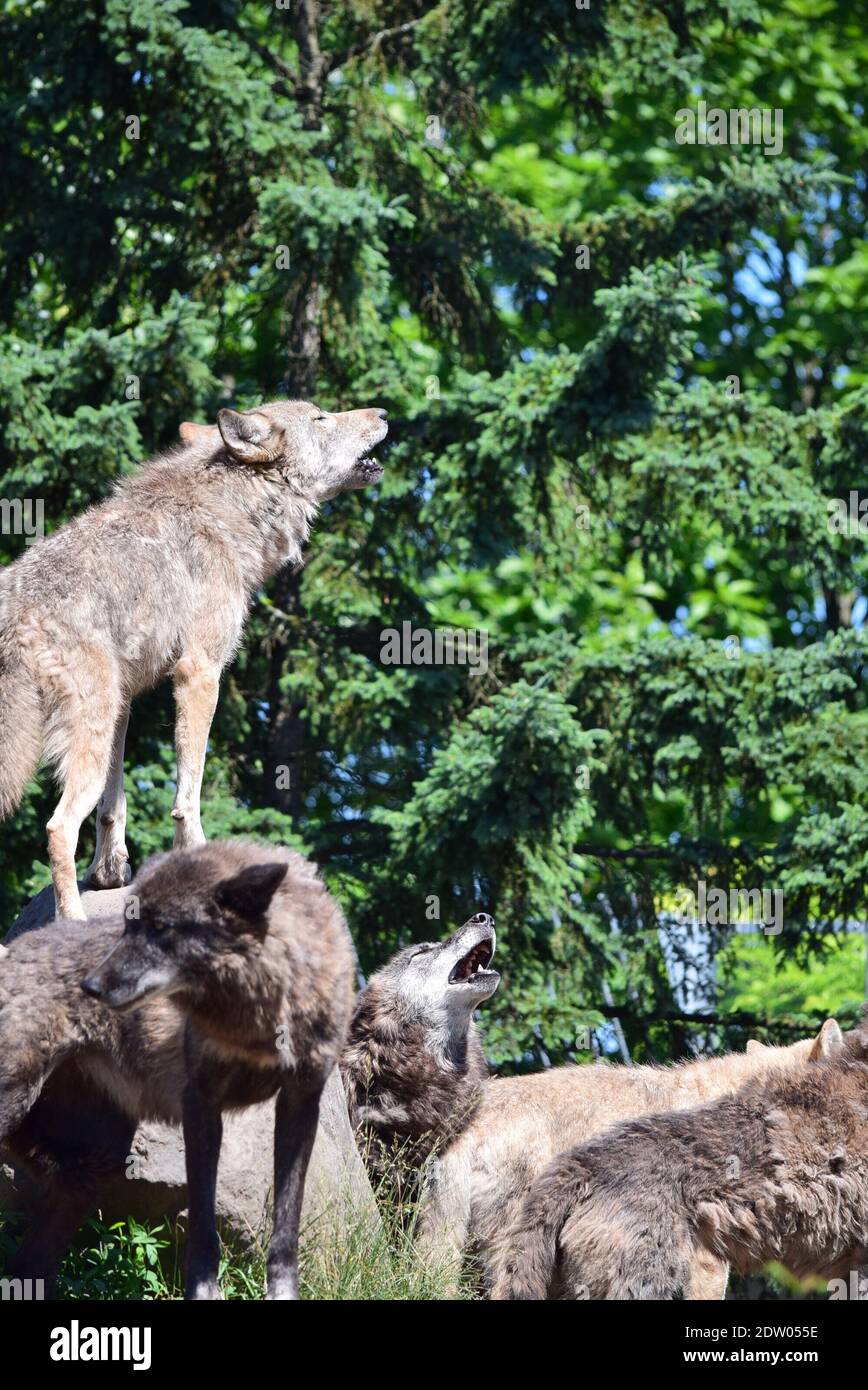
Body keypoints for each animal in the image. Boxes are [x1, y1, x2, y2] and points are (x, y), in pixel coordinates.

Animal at [0, 400, 388, 919]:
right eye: (321, 418)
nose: (384, 412)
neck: (228, 514)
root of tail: (15, 617)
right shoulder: (200, 671)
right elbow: (189, 790)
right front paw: (196, 857)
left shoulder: (128, 698)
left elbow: (113, 806)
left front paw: (109, 873)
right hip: (87, 730)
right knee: (58, 827)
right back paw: (72, 919)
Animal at [0, 839, 355, 1299]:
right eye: (128, 927)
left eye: (161, 927)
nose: (89, 987)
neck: (258, 1017)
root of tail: (14, 948)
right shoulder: (201, 1103)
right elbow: (204, 1231)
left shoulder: (300, 1103)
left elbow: (285, 1231)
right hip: (19, 1107)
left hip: (94, 1165)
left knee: (29, 1266)